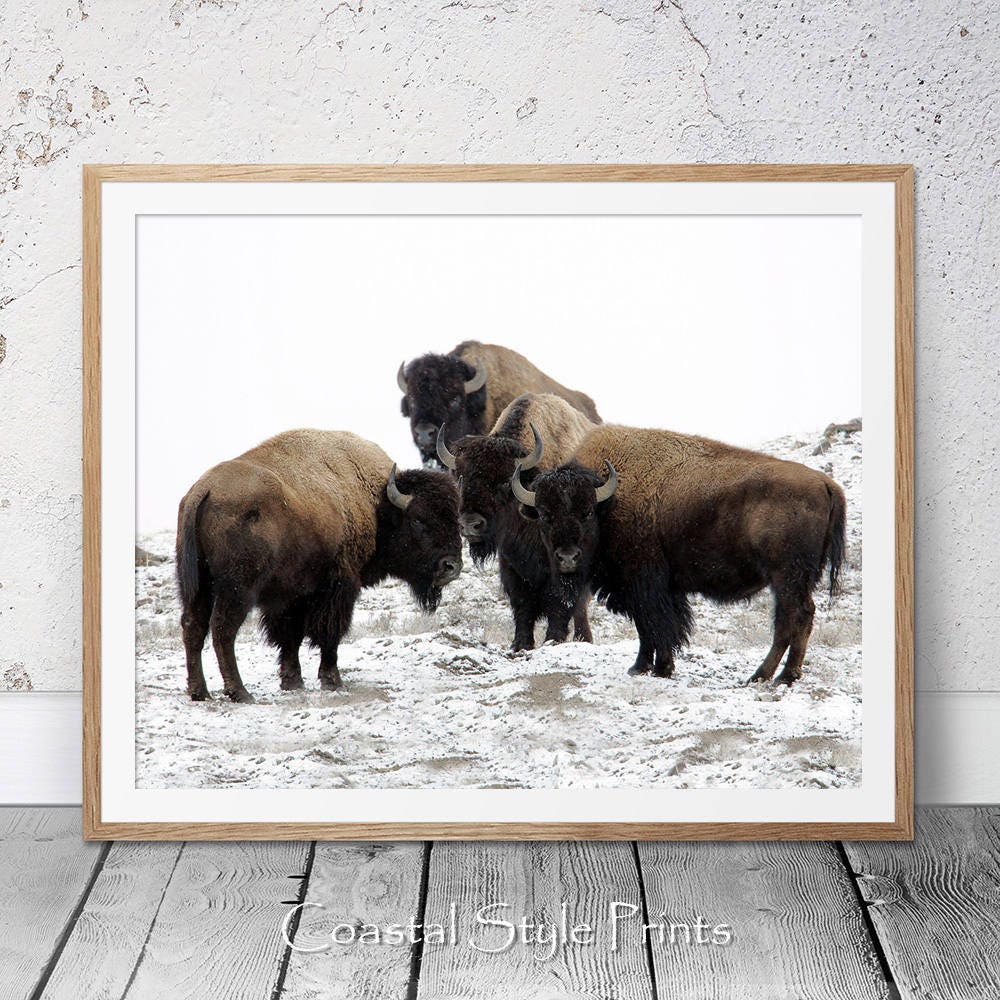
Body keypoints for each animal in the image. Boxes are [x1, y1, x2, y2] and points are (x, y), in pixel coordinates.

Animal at [176, 429, 461, 703]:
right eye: (418, 520)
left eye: (455, 518)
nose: (451, 566)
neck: (377, 503)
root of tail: (204, 491)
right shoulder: (339, 588)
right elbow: (329, 634)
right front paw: (332, 681)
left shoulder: (290, 597)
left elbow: (290, 638)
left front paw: (293, 683)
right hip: (237, 590)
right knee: (222, 630)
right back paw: (240, 693)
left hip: (197, 585)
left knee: (193, 626)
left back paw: (199, 692)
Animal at [436, 393, 597, 650]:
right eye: (461, 477)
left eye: (504, 481)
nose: (471, 524)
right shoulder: (511, 562)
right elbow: (522, 603)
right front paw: (520, 644)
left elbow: (559, 601)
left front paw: (553, 640)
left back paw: (584, 639)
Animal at [512, 424, 847, 685]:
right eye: (545, 515)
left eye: (587, 513)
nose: (568, 558)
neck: (610, 500)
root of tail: (826, 483)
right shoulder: (652, 588)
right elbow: (653, 627)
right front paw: (645, 668)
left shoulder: (644, 584)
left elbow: (655, 625)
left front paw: (656, 668)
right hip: (791, 580)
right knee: (792, 619)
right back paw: (768, 676)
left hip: (787, 577)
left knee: (795, 617)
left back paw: (775, 677)